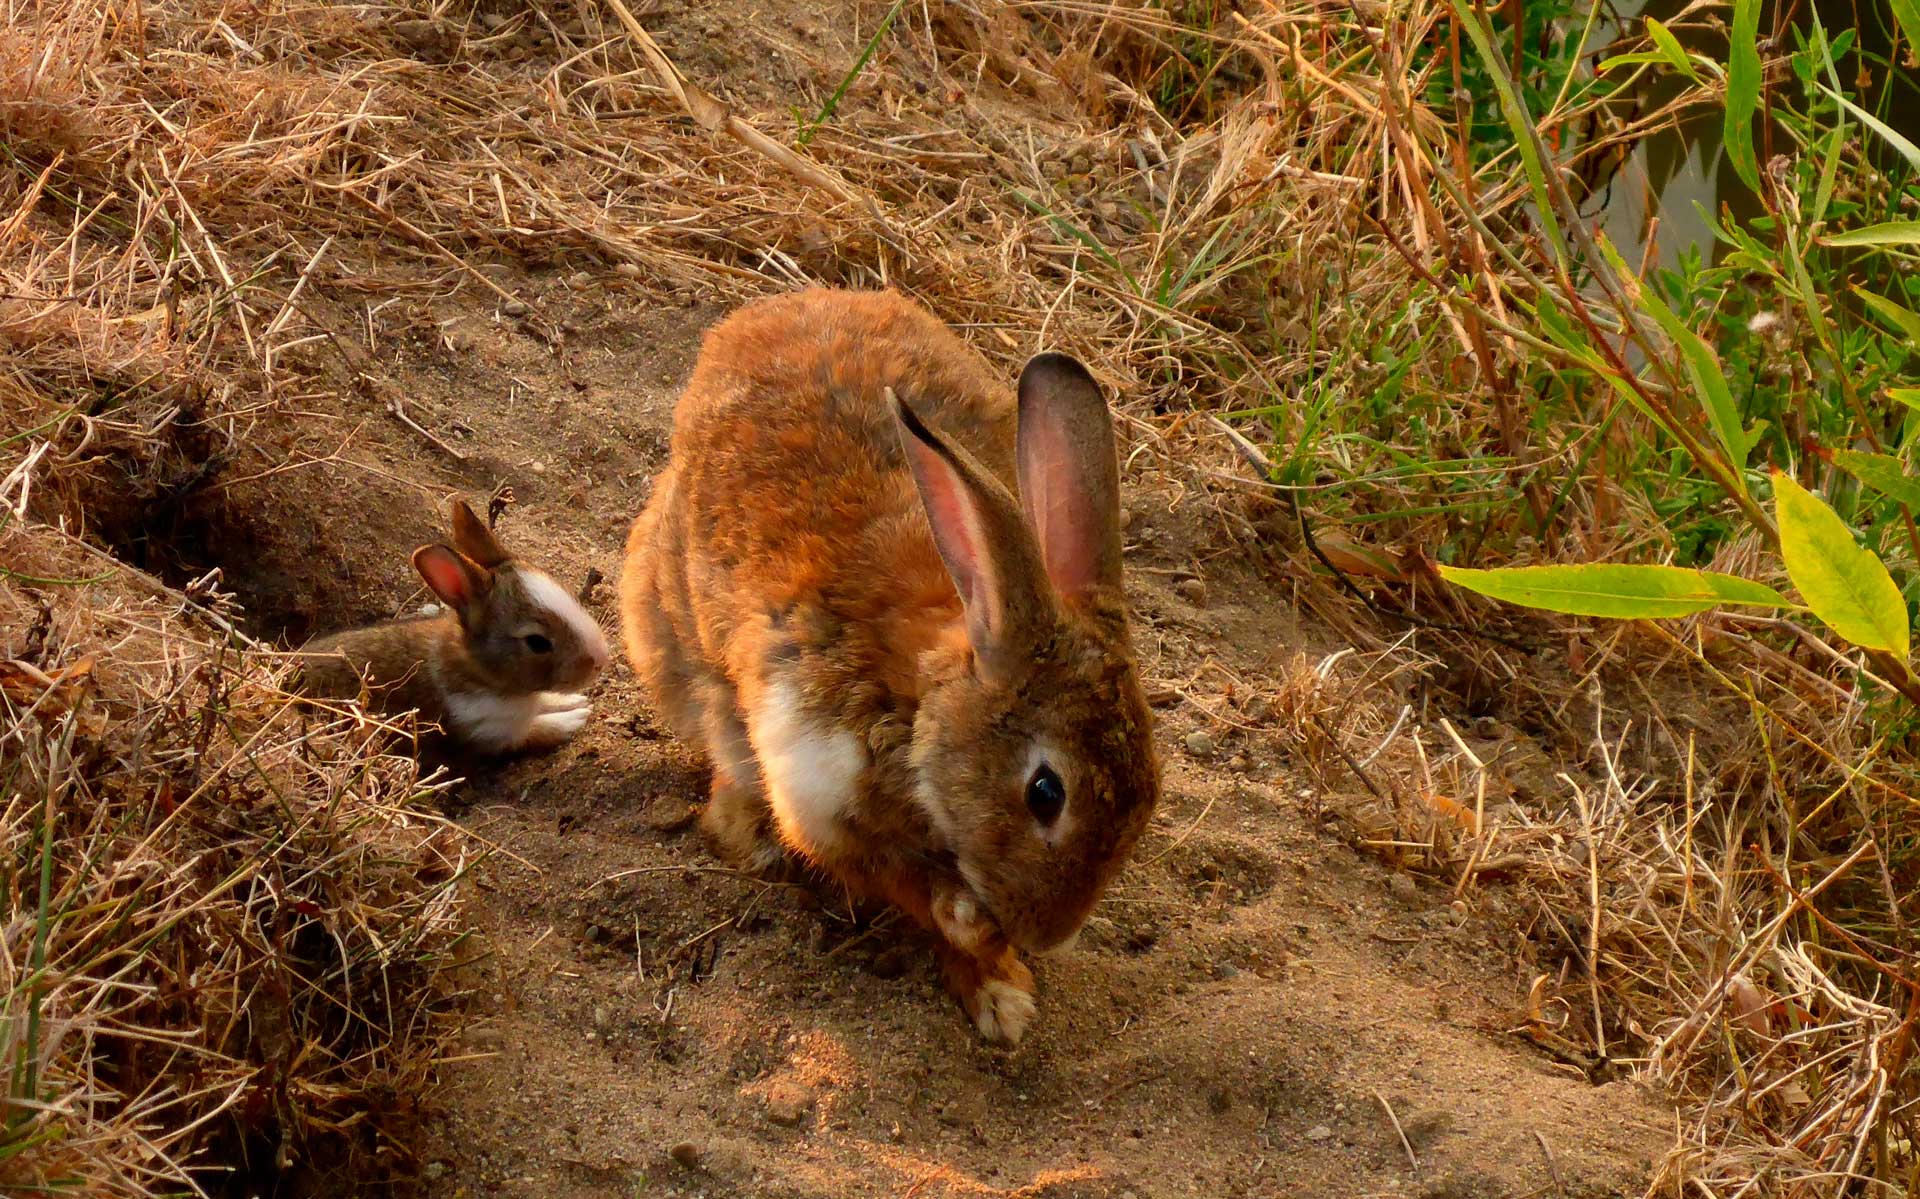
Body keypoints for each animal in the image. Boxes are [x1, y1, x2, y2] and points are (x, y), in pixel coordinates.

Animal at [301, 495, 606, 749]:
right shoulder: (489, 729)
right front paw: (574, 717)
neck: (476, 669)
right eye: (537, 642)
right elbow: (533, 731)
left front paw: (572, 702)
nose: (601, 660)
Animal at [622, 288, 1159, 1037]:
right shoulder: (816, 783)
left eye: (1151, 795)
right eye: (1045, 793)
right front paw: (978, 943)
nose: (1049, 933)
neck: (918, 707)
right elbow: (894, 881)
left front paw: (1000, 989)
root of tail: (770, 308)